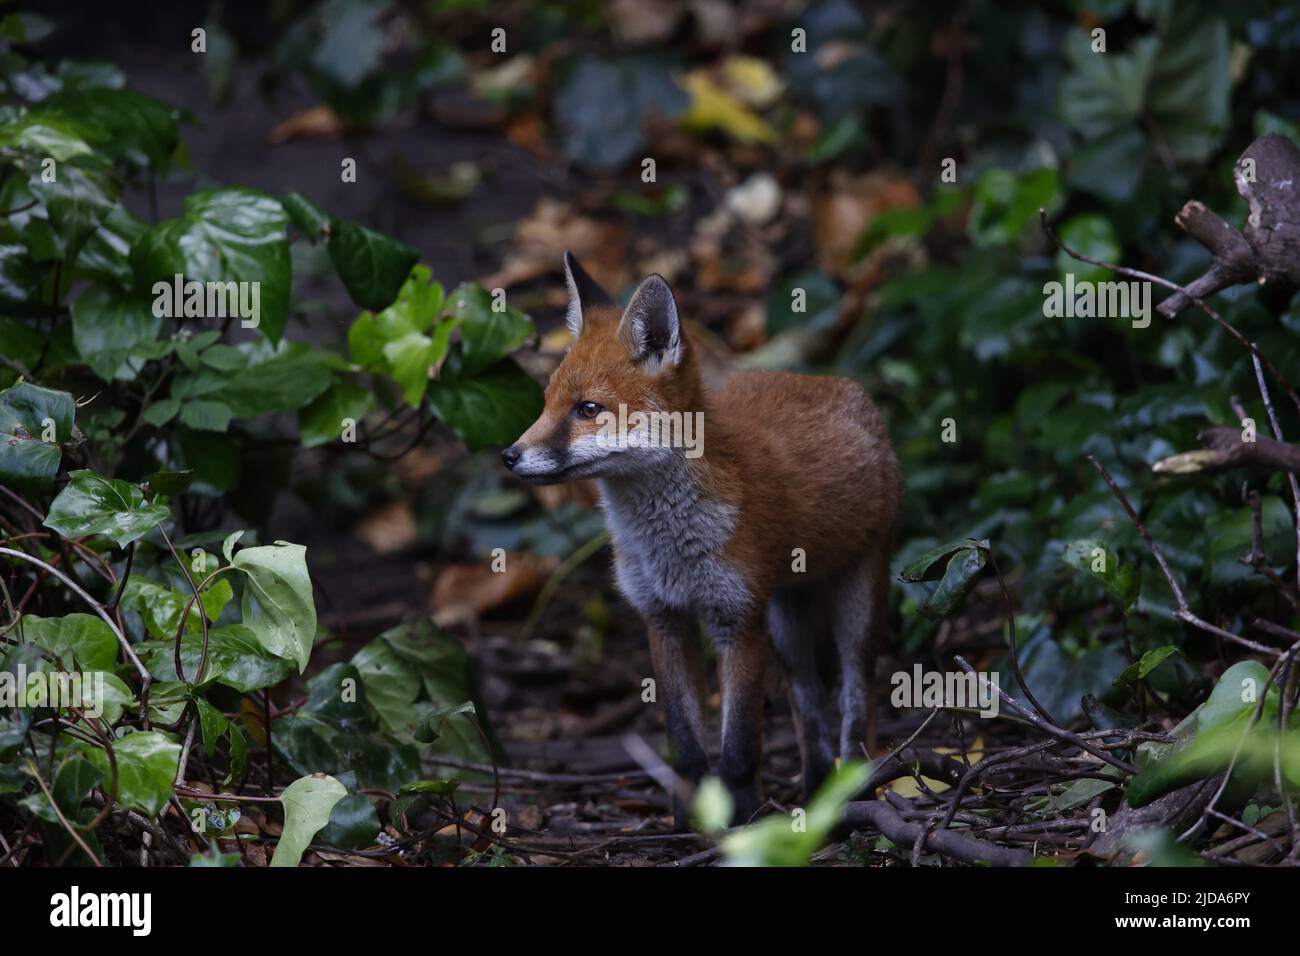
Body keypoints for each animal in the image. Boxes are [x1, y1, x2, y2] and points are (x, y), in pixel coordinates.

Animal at [502, 253, 902, 826]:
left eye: (588, 409)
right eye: (547, 403)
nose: (509, 457)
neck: (669, 549)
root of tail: (835, 385)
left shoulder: (738, 620)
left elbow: (738, 748)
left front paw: (743, 822)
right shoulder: (663, 617)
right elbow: (685, 744)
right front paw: (687, 821)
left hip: (856, 604)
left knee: (856, 698)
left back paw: (853, 790)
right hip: (785, 624)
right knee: (808, 702)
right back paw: (814, 792)